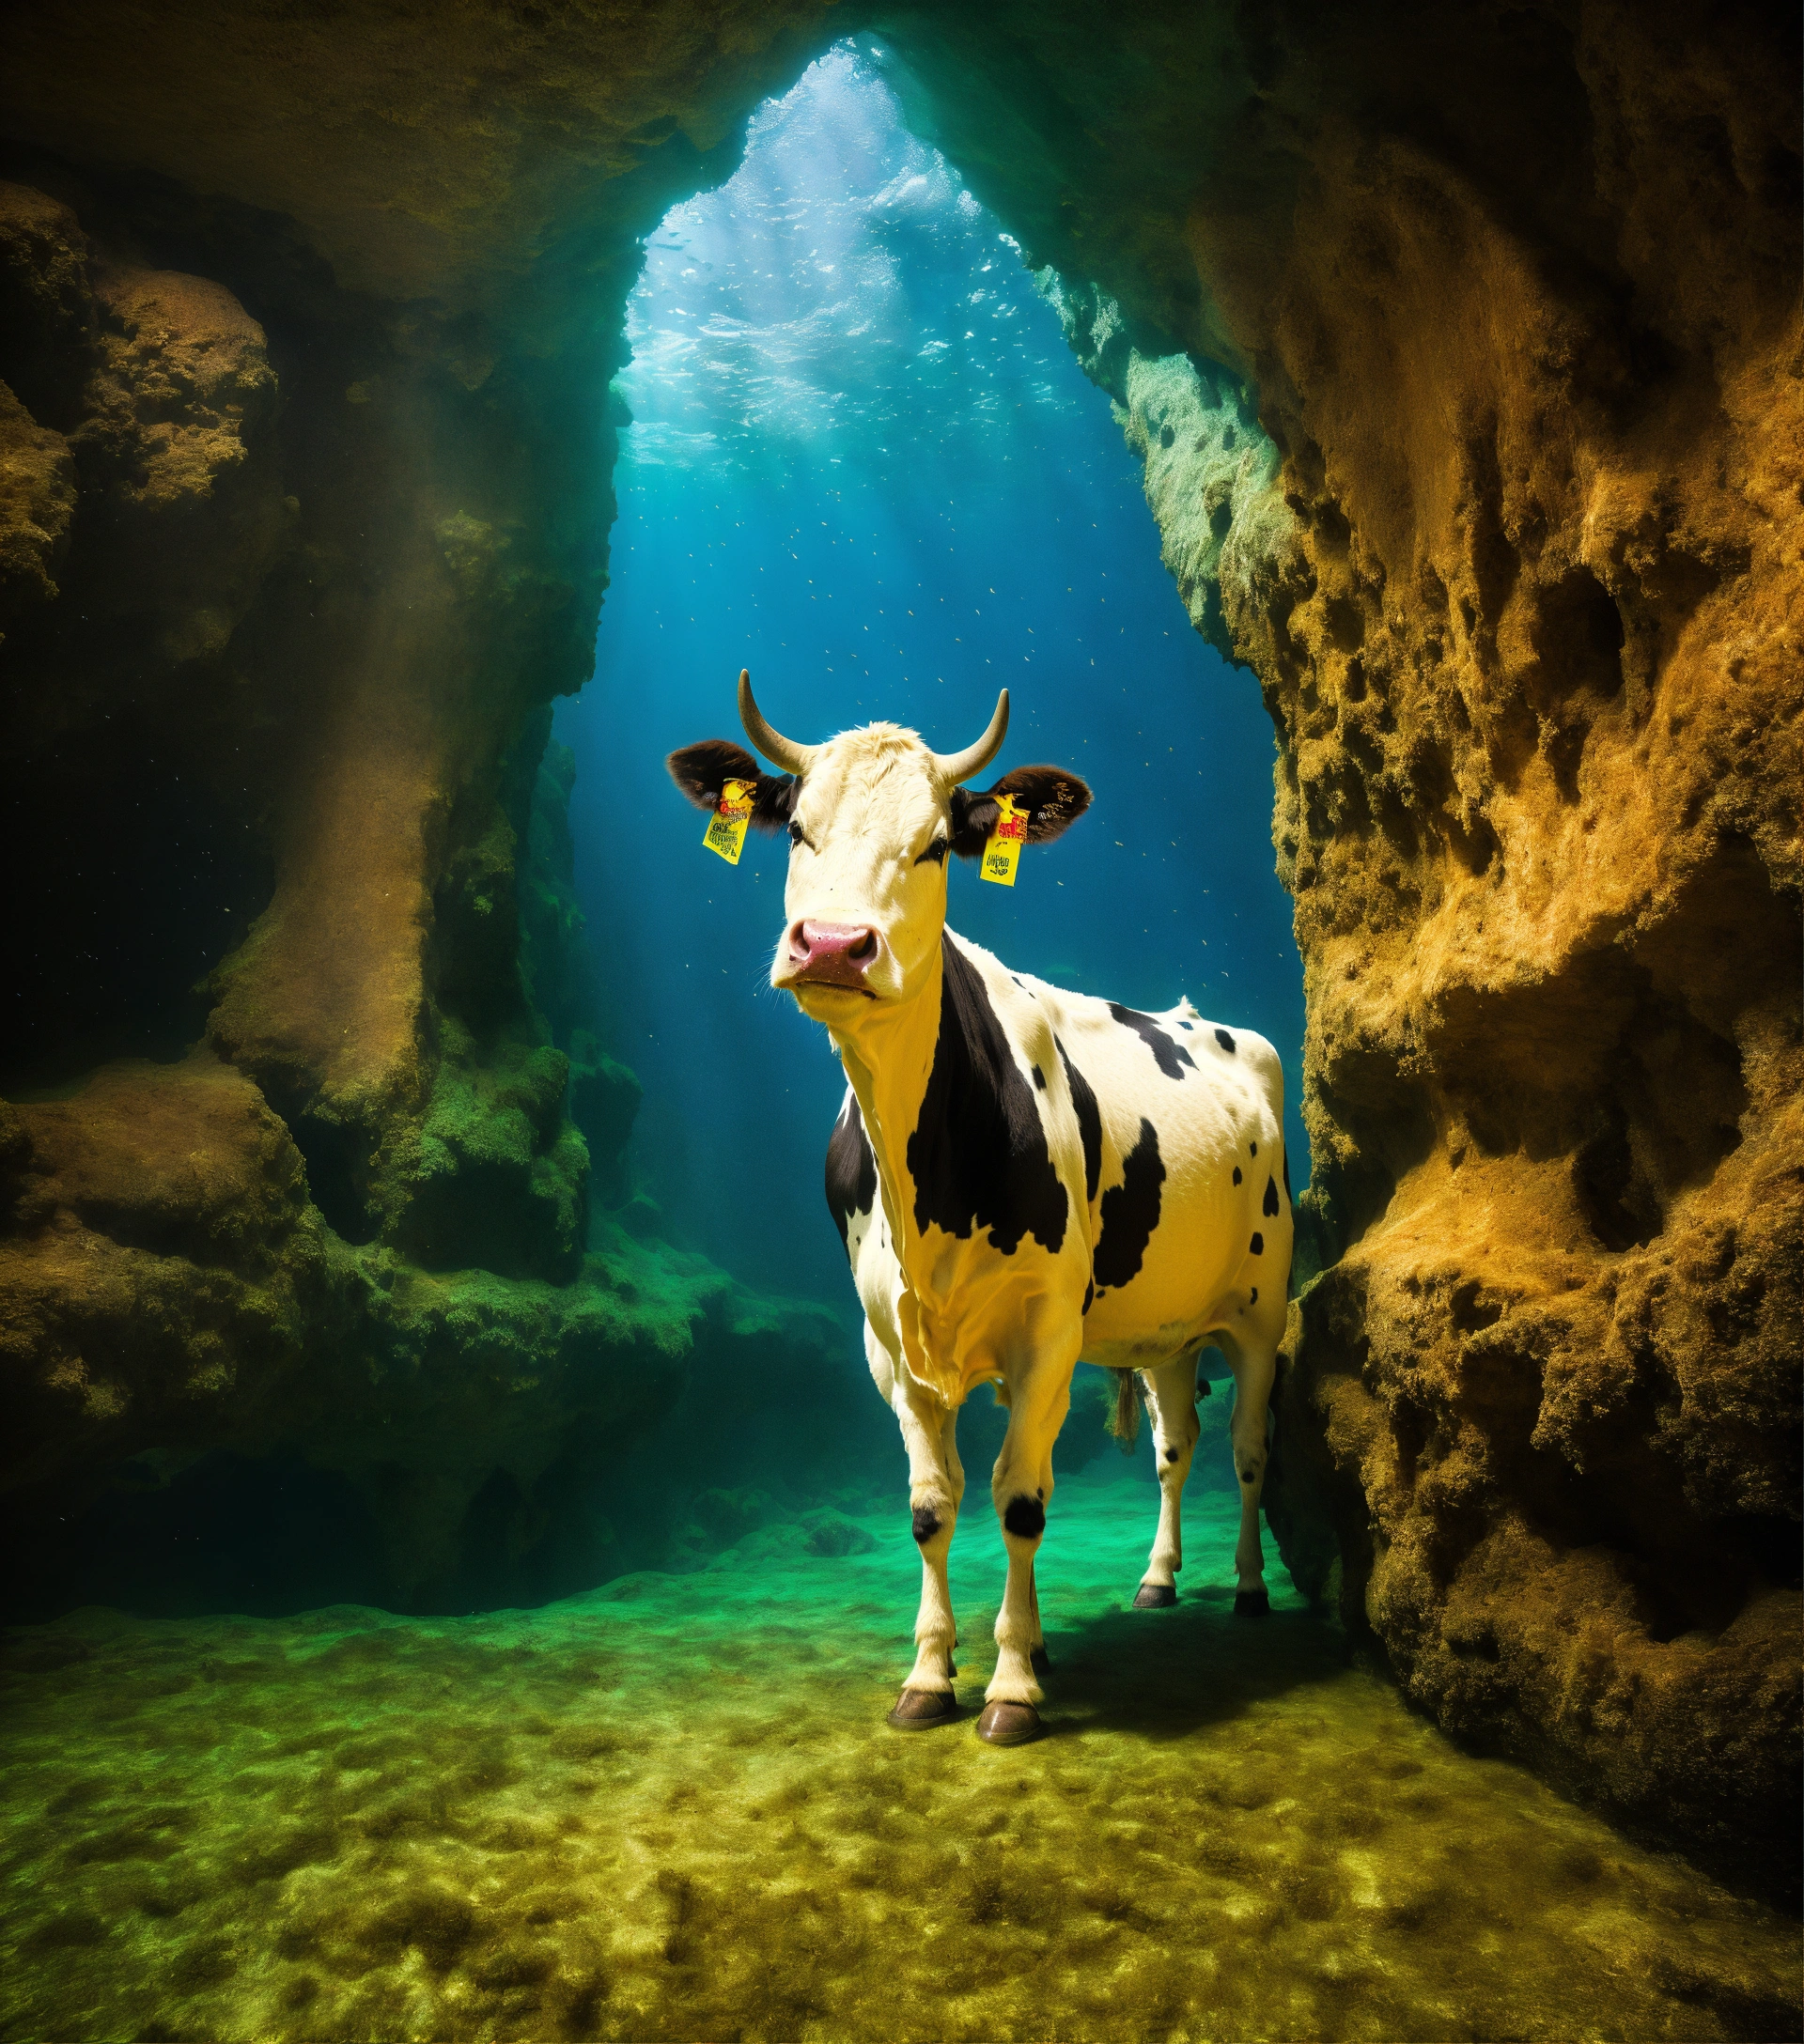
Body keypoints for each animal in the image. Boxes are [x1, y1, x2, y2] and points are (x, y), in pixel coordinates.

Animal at [667, 672, 1294, 1746]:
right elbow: (933, 1507)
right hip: (1163, 1325)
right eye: (798, 832)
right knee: (1175, 1445)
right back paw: (1159, 1578)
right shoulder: (888, 1341)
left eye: (933, 845)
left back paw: (1249, 1590)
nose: (833, 944)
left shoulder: (1047, 1332)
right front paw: (933, 1673)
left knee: (1248, 1451)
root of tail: (1213, 1025)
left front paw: (1011, 1685)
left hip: (1259, 1308)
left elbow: (1022, 1502)